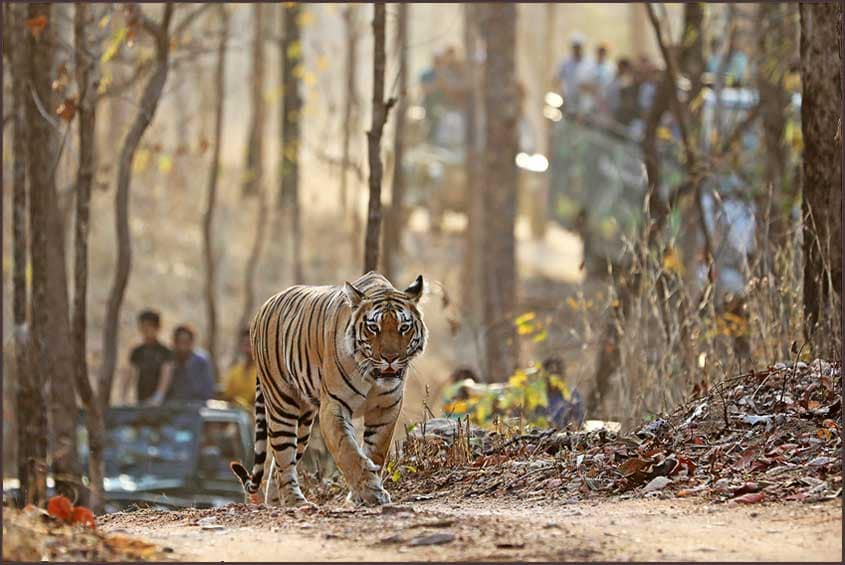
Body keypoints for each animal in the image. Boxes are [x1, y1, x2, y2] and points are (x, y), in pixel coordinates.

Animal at [230, 271, 428, 507]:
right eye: (373, 327)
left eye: (404, 327)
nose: (390, 358)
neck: (372, 376)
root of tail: (262, 308)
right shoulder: (334, 405)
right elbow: (348, 451)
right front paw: (370, 491)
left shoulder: (386, 408)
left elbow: (375, 451)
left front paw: (364, 493)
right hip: (282, 404)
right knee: (284, 457)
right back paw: (296, 501)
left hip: (304, 419)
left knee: (279, 465)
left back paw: (277, 502)